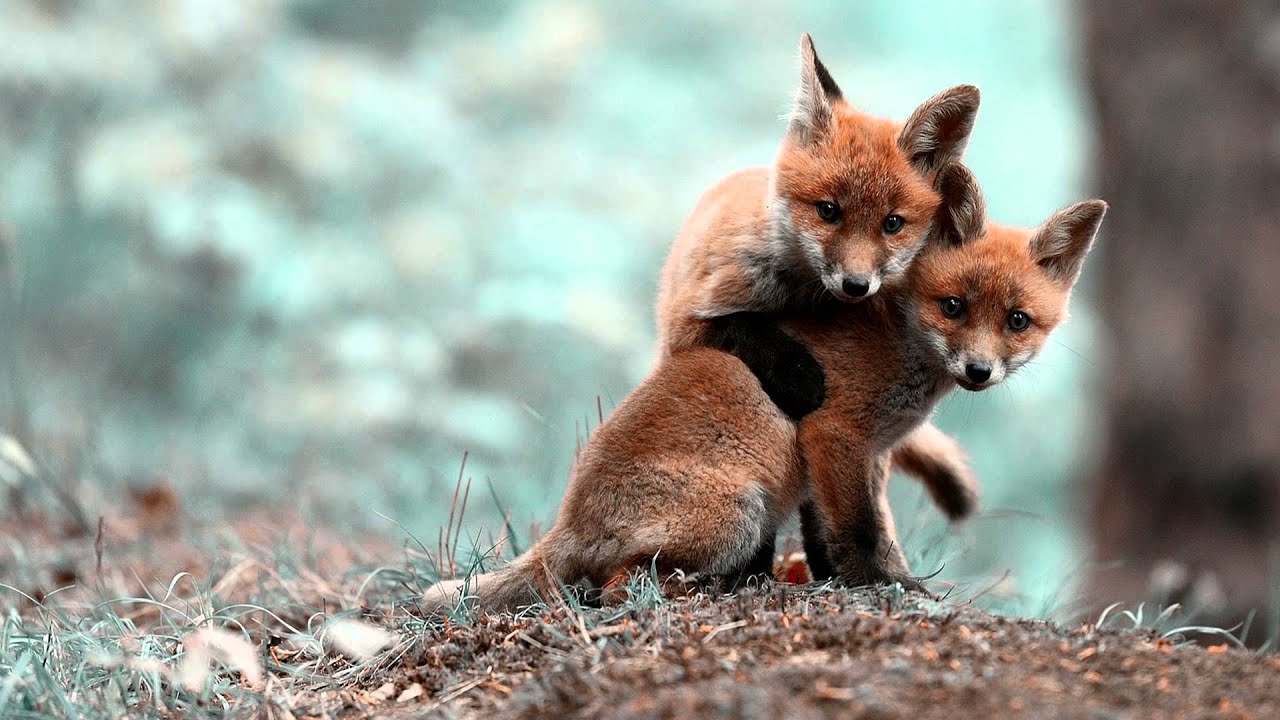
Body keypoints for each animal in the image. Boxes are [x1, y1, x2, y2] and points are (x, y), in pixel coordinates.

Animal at [422, 162, 1107, 611]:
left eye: (1017, 321)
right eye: (954, 307)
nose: (979, 372)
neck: (899, 342)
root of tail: (569, 517)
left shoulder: (864, 455)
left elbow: (843, 533)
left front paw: (859, 580)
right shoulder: (834, 433)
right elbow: (861, 532)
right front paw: (887, 588)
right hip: (739, 513)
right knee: (614, 586)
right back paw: (702, 588)